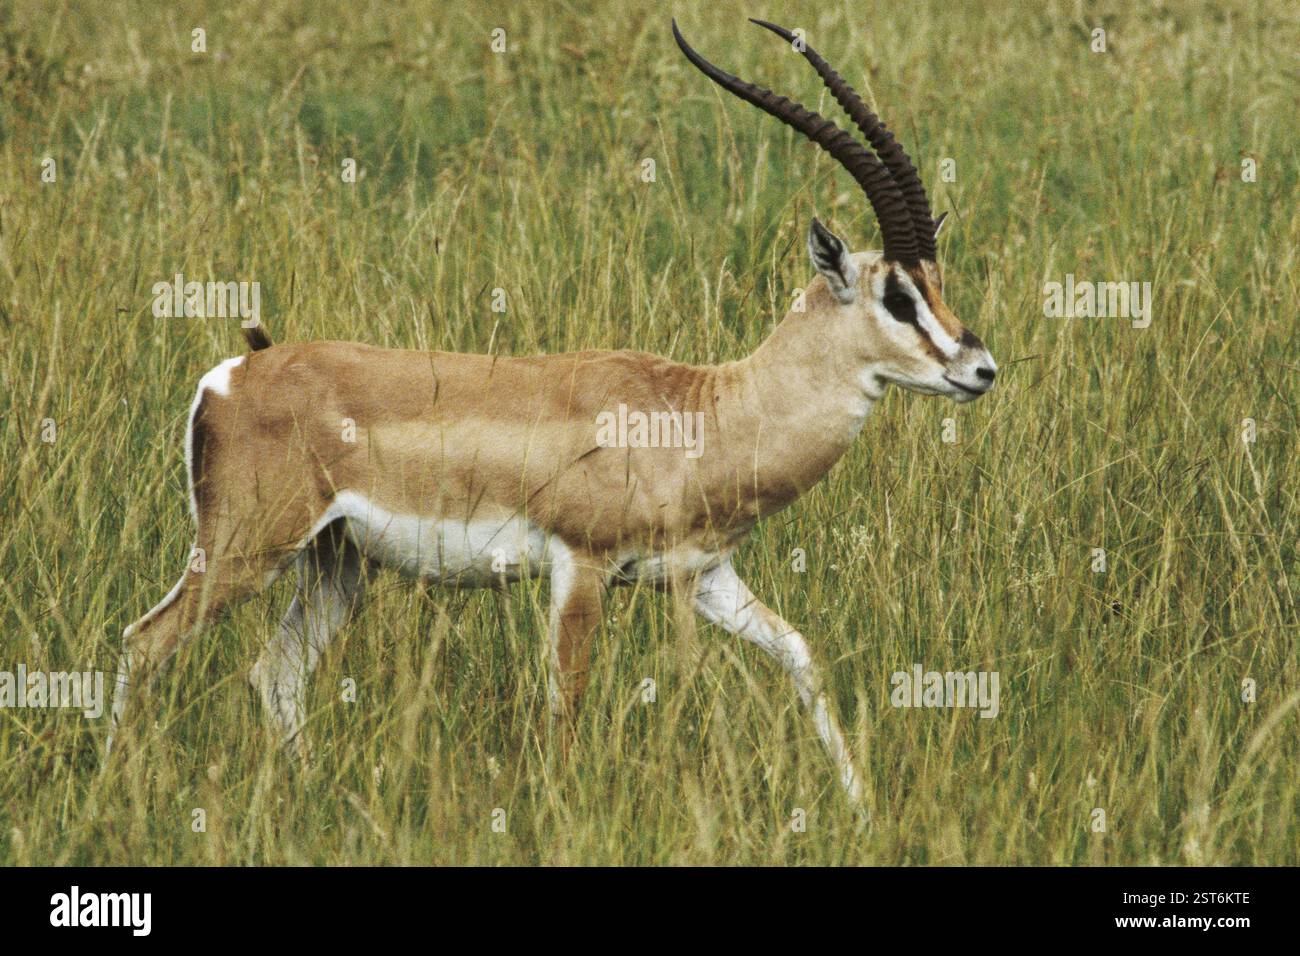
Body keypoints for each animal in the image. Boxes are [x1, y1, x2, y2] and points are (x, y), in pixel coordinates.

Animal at [106, 19, 996, 805]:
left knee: (275, 671)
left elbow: (802, 655)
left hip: (337, 566)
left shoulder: (706, 576)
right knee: (145, 643)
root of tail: (234, 373)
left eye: (938, 282)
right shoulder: (582, 565)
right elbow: (567, 700)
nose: (980, 369)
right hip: (245, 549)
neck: (699, 413)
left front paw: (861, 807)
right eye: (897, 294)